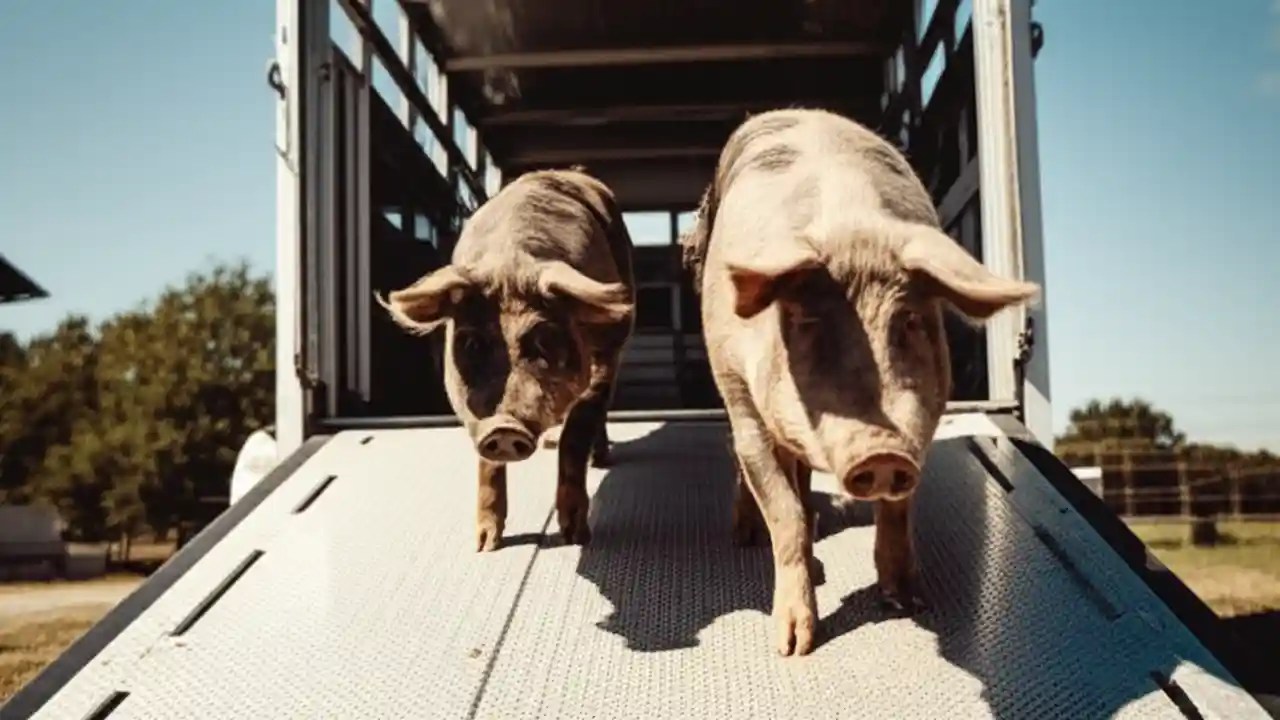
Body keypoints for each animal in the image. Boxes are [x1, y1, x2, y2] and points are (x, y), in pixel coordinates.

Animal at [376, 167, 636, 552]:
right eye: (472, 344)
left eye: (544, 341)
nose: (504, 427)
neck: (511, 262)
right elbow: (487, 462)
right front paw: (485, 545)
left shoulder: (606, 358)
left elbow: (577, 434)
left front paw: (576, 537)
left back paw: (599, 459)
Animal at [679, 108, 1039, 656]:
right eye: (807, 321)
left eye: (909, 321)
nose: (881, 452)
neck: (848, 225)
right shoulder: (743, 401)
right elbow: (783, 513)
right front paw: (793, 646)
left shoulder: (923, 427)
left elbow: (896, 511)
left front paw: (908, 604)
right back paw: (749, 538)